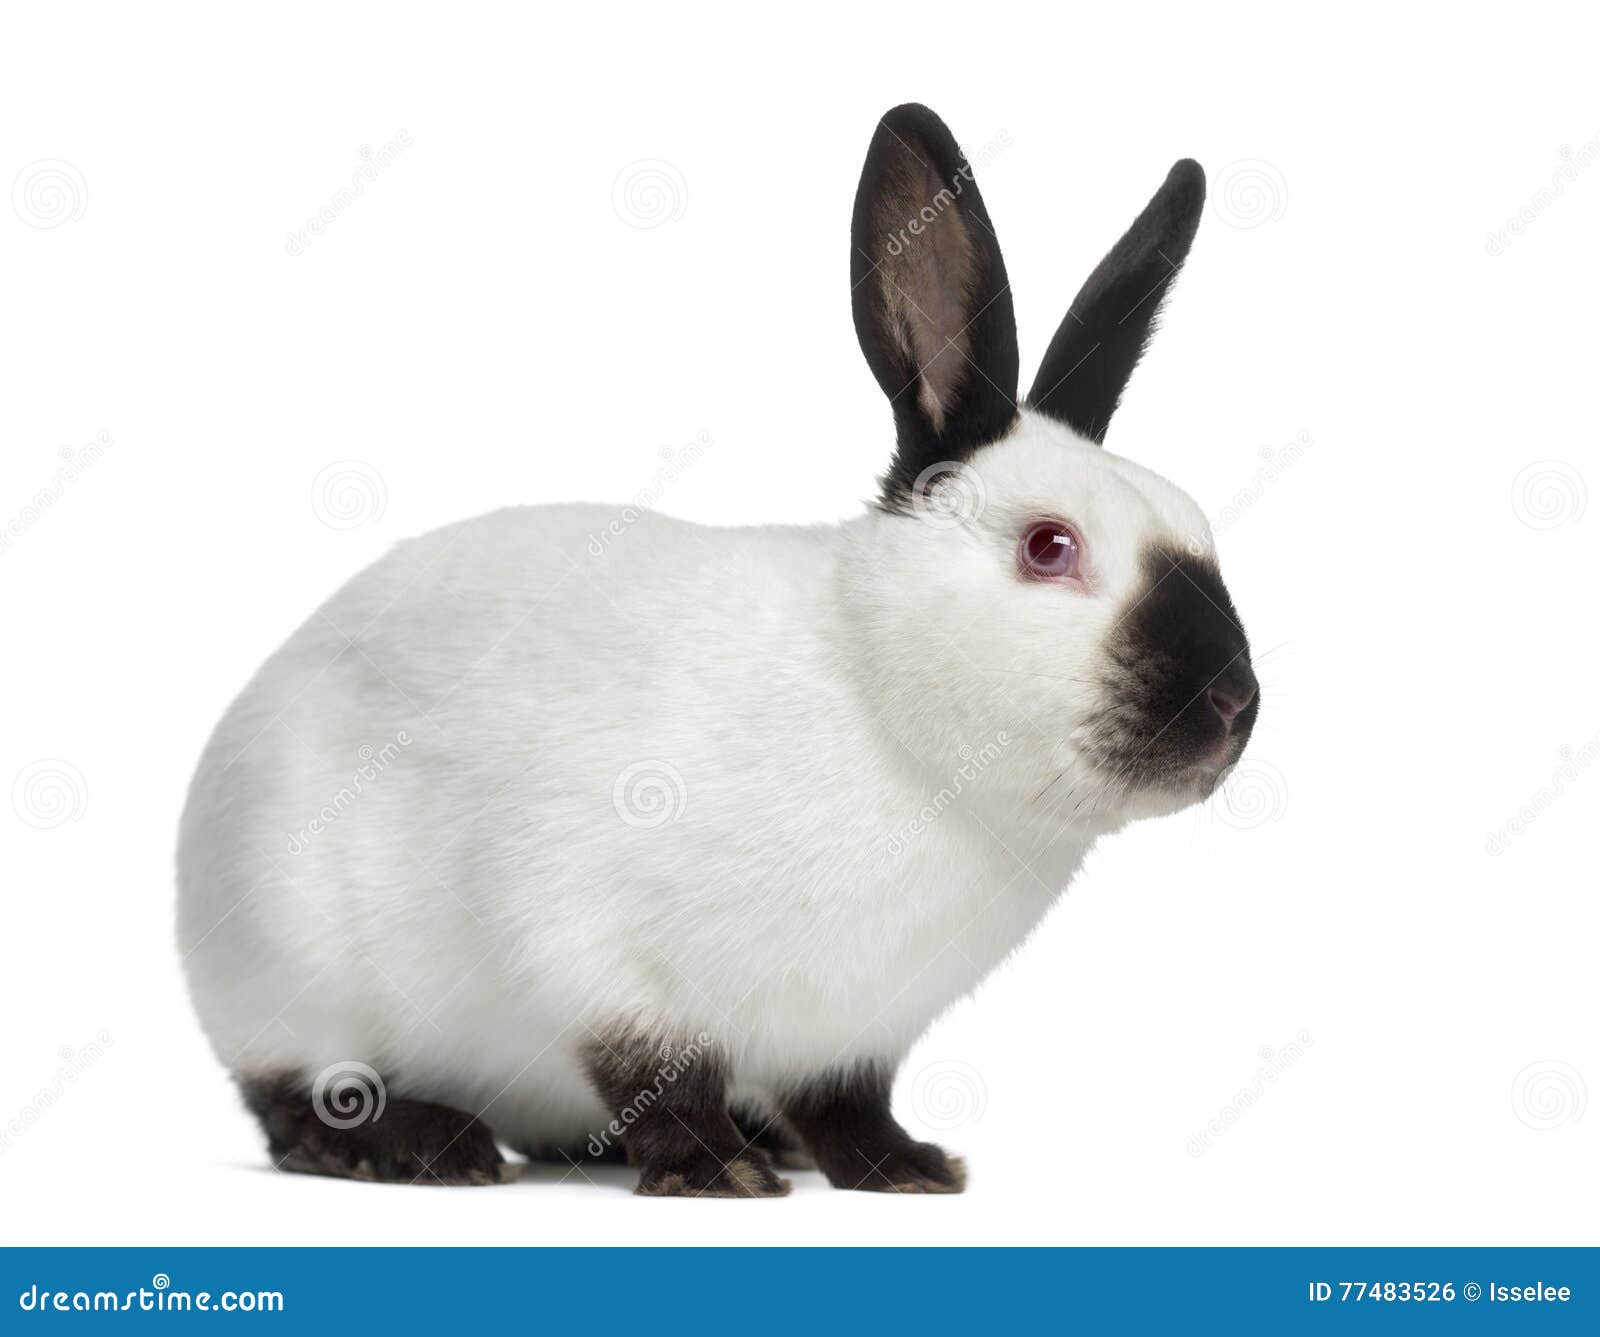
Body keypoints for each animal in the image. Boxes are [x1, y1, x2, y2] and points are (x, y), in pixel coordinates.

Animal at [177, 103, 1257, 1196]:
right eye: (1049, 547)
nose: (1230, 703)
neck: (885, 716)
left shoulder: (854, 1032)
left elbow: (846, 1102)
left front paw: (903, 1168)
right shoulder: (590, 941)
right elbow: (652, 1070)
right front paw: (716, 1172)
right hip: (292, 968)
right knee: (293, 1098)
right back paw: (428, 1146)